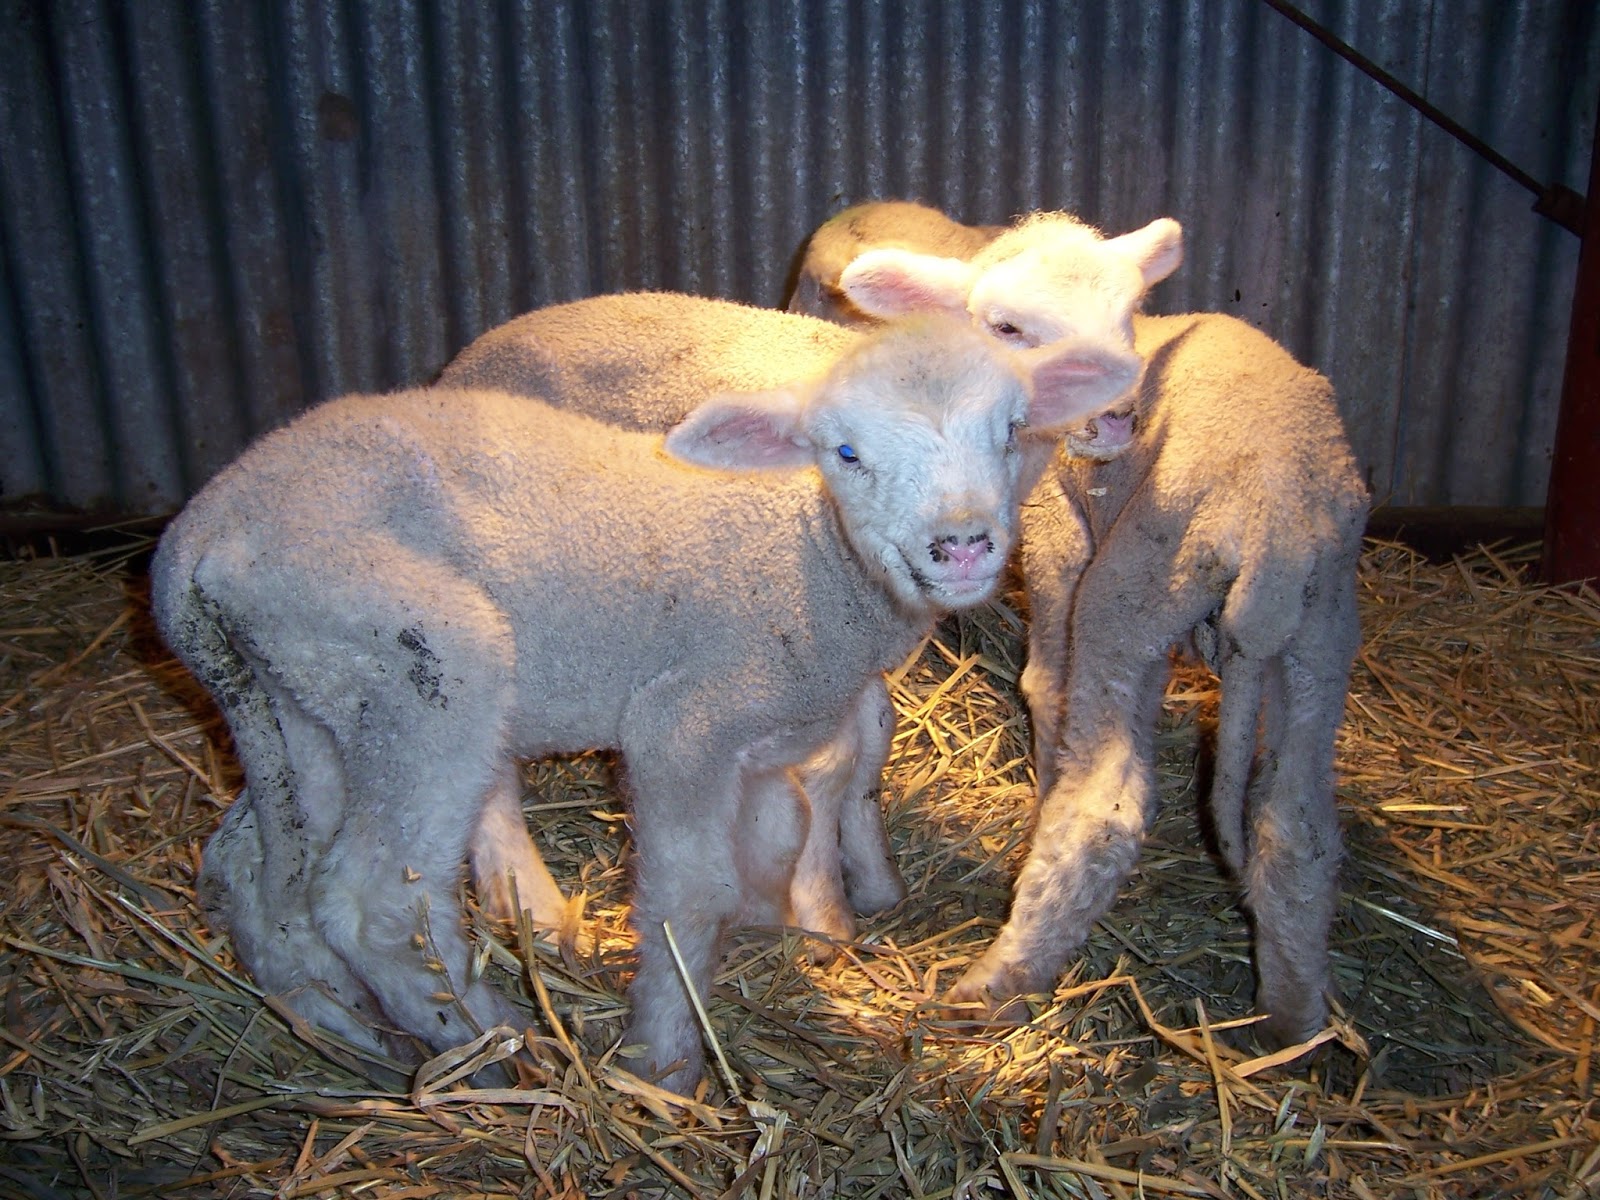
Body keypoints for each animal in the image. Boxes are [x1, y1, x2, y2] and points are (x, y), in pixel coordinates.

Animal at [151, 314, 1115, 1093]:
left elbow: (783, 833)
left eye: (1013, 428)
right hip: (422, 673)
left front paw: (772, 929)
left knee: (248, 863)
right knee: (374, 901)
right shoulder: (683, 724)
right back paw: (493, 1045)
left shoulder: (759, 737)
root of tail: (195, 538)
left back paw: (338, 1023)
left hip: (306, 697)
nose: (962, 544)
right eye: (845, 453)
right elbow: (687, 893)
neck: (809, 553)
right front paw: (666, 1060)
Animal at [799, 201, 1369, 1048]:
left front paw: (1044, 789)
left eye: (1128, 312)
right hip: (1321, 623)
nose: (1116, 418)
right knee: (1296, 829)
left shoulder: (1057, 535)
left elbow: (1046, 685)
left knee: (1107, 809)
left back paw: (991, 986)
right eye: (1007, 326)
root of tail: (1275, 517)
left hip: (1137, 582)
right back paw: (1290, 1025)